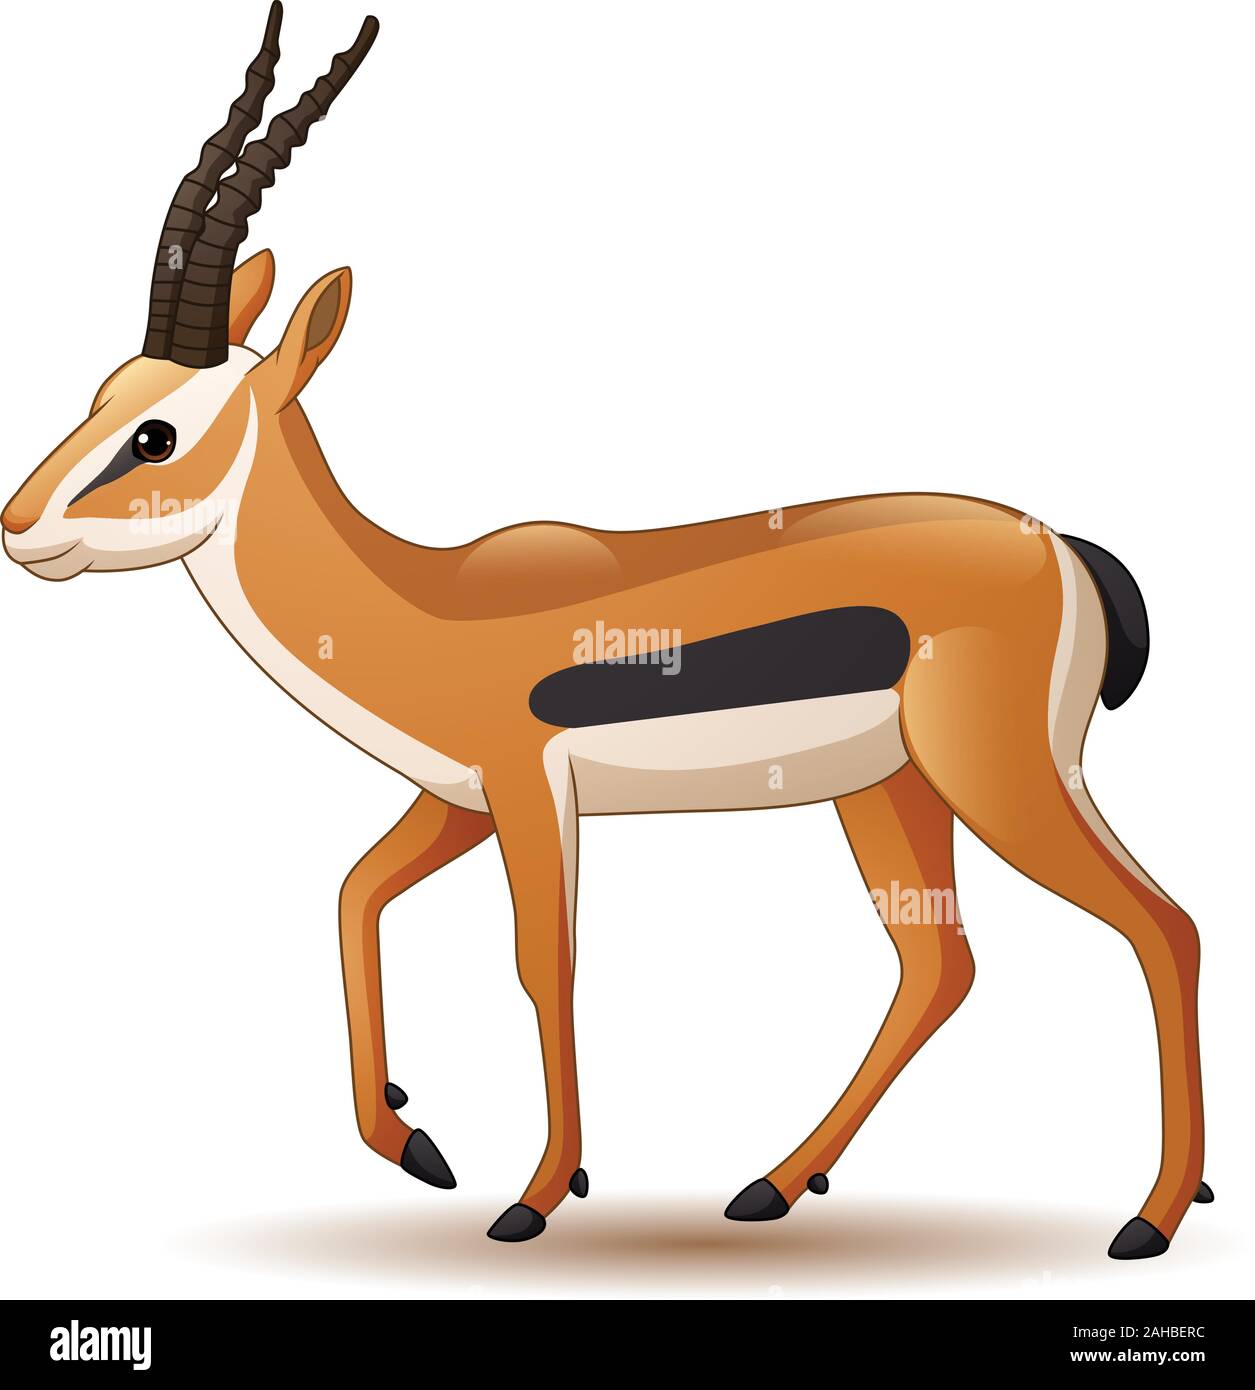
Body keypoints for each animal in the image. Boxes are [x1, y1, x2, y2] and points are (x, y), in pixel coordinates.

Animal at [3, 4, 1208, 1257]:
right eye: (100, 391)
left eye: (155, 433)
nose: (17, 526)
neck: (421, 602)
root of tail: (1066, 548)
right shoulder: (458, 798)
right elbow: (351, 893)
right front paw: (418, 1144)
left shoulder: (532, 795)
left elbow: (545, 964)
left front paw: (534, 1195)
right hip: (890, 789)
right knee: (939, 963)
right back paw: (770, 1184)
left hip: (1003, 776)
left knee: (1164, 926)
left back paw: (1148, 1218)